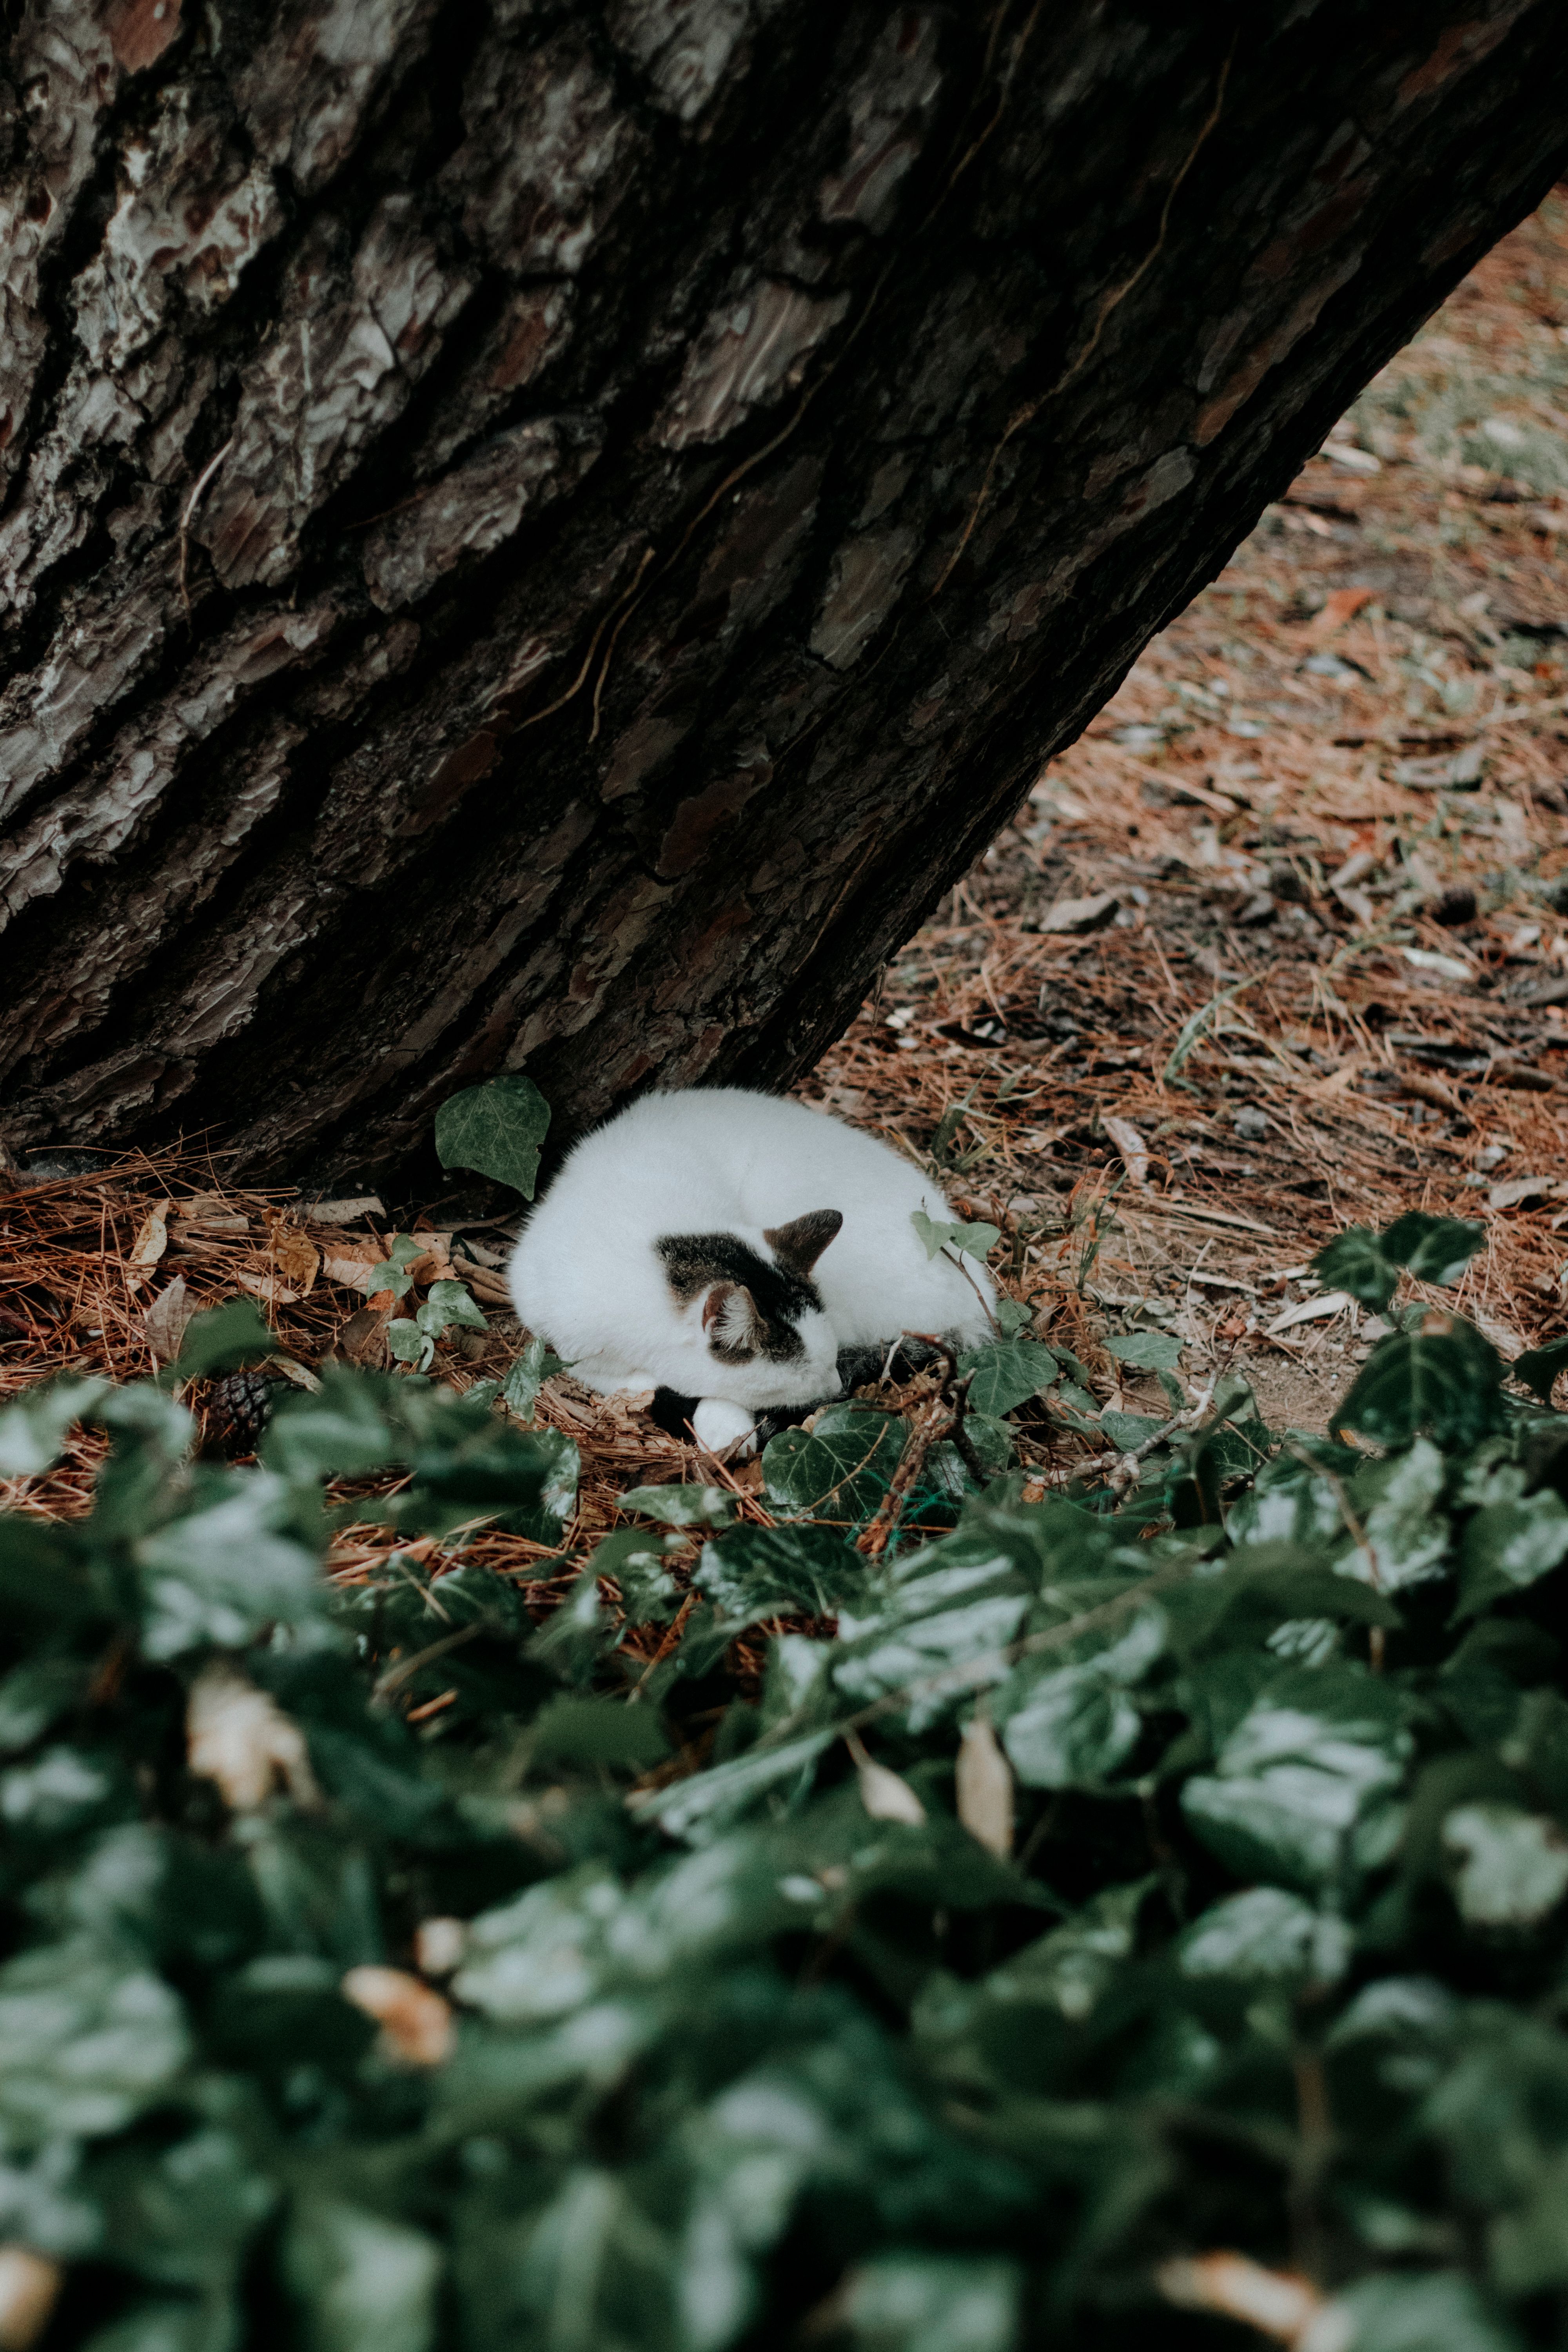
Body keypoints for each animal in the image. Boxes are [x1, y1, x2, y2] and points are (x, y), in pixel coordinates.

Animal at [507, 1087, 997, 1455]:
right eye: (808, 1376)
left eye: (829, 1361)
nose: (836, 1385)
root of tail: (979, 1300)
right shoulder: (554, 1324)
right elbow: (622, 1376)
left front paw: (724, 1423)